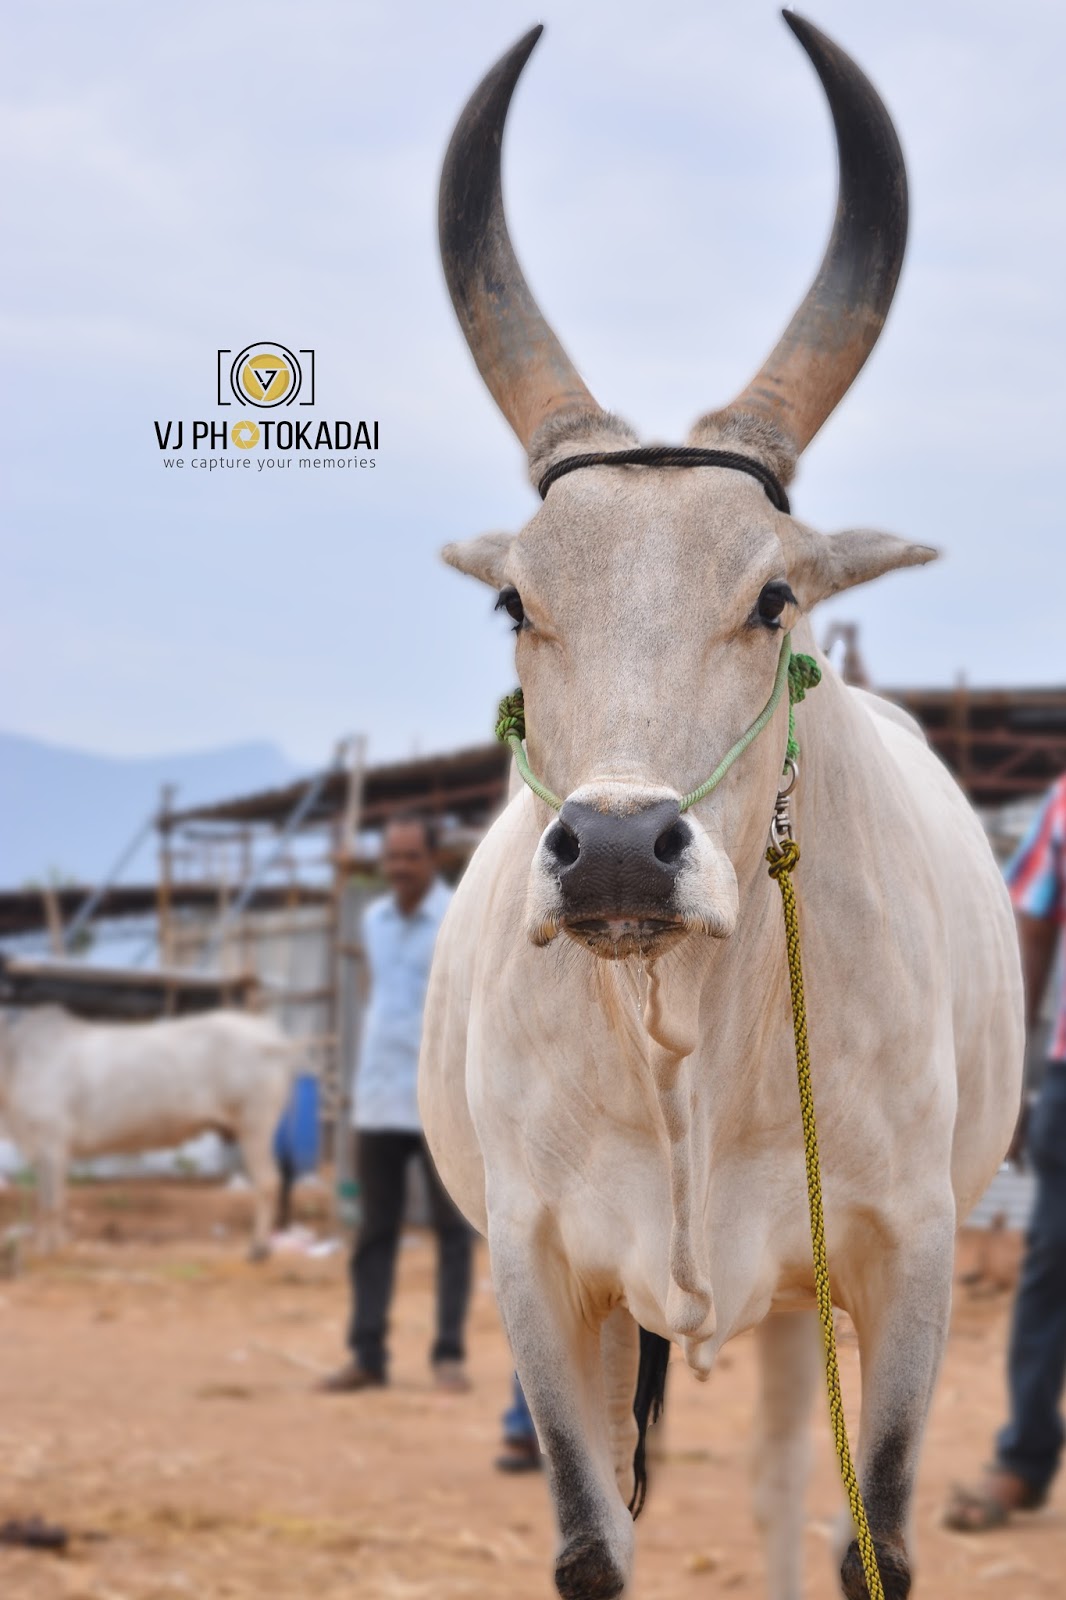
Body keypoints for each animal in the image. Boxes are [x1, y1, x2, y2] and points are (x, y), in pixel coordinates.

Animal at [0, 1006, 294, 1258]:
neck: (14, 1060)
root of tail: (267, 1035)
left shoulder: (51, 1141)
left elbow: (50, 1204)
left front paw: (47, 1249)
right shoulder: (48, 1151)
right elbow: (51, 1201)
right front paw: (54, 1243)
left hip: (255, 1124)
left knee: (268, 1181)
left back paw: (258, 1249)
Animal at [420, 16, 1024, 1600]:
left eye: (772, 597)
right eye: (516, 600)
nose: (620, 852)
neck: (683, 1031)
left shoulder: (903, 1251)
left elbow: (870, 1538)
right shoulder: (539, 1268)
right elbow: (594, 1543)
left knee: (772, 1484)